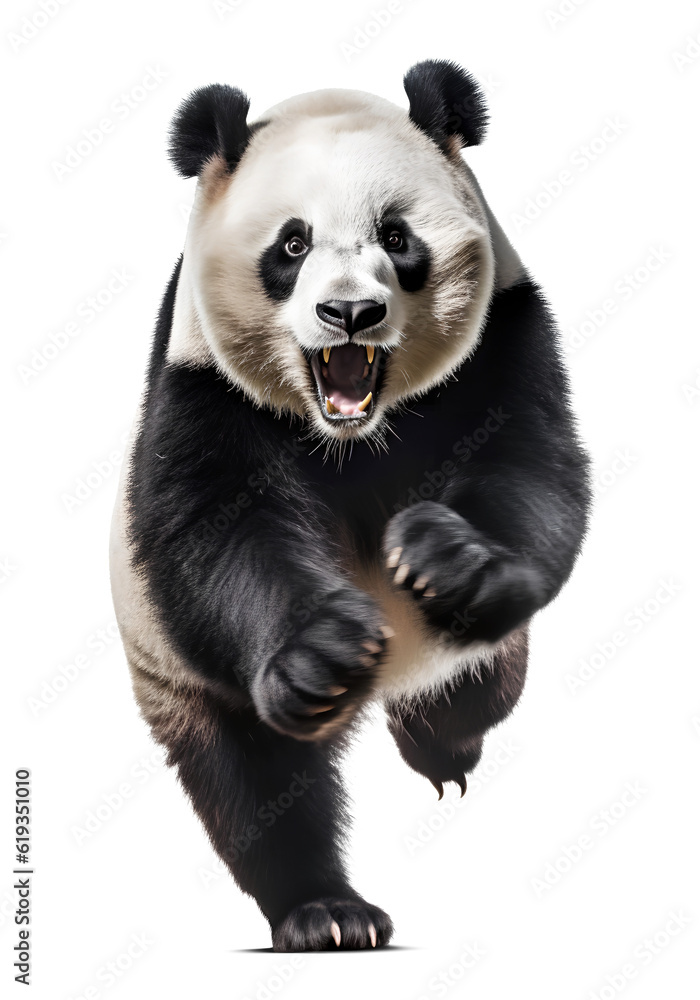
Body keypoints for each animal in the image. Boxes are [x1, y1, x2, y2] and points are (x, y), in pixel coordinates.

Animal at [110, 59, 591, 952]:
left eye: (397, 238)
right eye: (291, 245)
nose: (350, 313)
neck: (356, 435)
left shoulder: (501, 339)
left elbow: (533, 468)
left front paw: (446, 562)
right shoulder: (205, 387)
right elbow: (218, 534)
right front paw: (325, 655)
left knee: (481, 680)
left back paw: (441, 745)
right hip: (182, 678)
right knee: (255, 786)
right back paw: (327, 911)